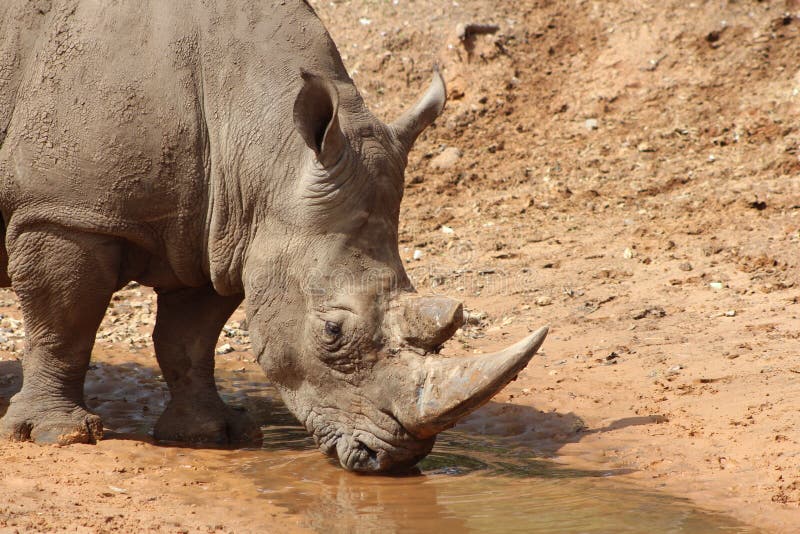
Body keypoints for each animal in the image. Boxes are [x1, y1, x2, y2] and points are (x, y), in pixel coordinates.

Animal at [0, 0, 548, 472]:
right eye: (332, 331)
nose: (391, 459)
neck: (263, 144)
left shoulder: (220, 233)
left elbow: (189, 339)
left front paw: (210, 435)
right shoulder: (64, 213)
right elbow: (64, 326)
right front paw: (57, 436)